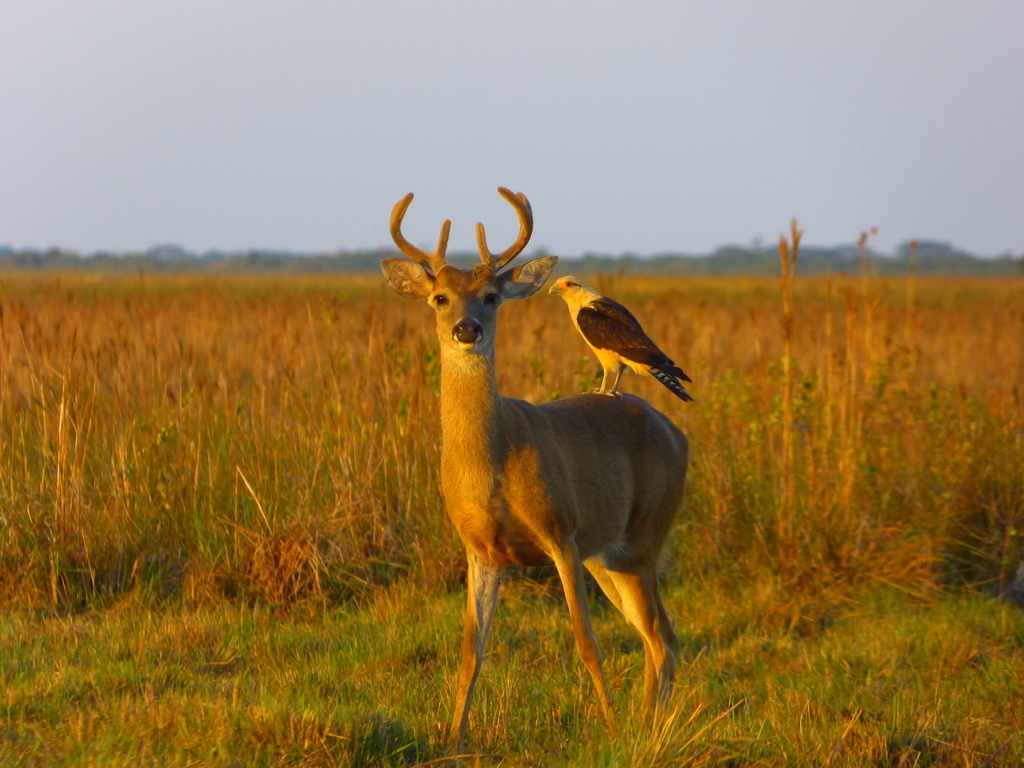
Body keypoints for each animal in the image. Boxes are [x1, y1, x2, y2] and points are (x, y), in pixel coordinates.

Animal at [380, 187, 689, 751]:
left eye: (491, 296)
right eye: (440, 298)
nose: (467, 329)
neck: (492, 468)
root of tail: (678, 434)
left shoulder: (559, 531)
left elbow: (586, 641)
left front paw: (610, 729)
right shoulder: (479, 550)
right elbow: (470, 652)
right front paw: (453, 743)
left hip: (643, 539)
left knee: (661, 635)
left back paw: (644, 728)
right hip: (607, 556)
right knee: (659, 634)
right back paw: (650, 723)